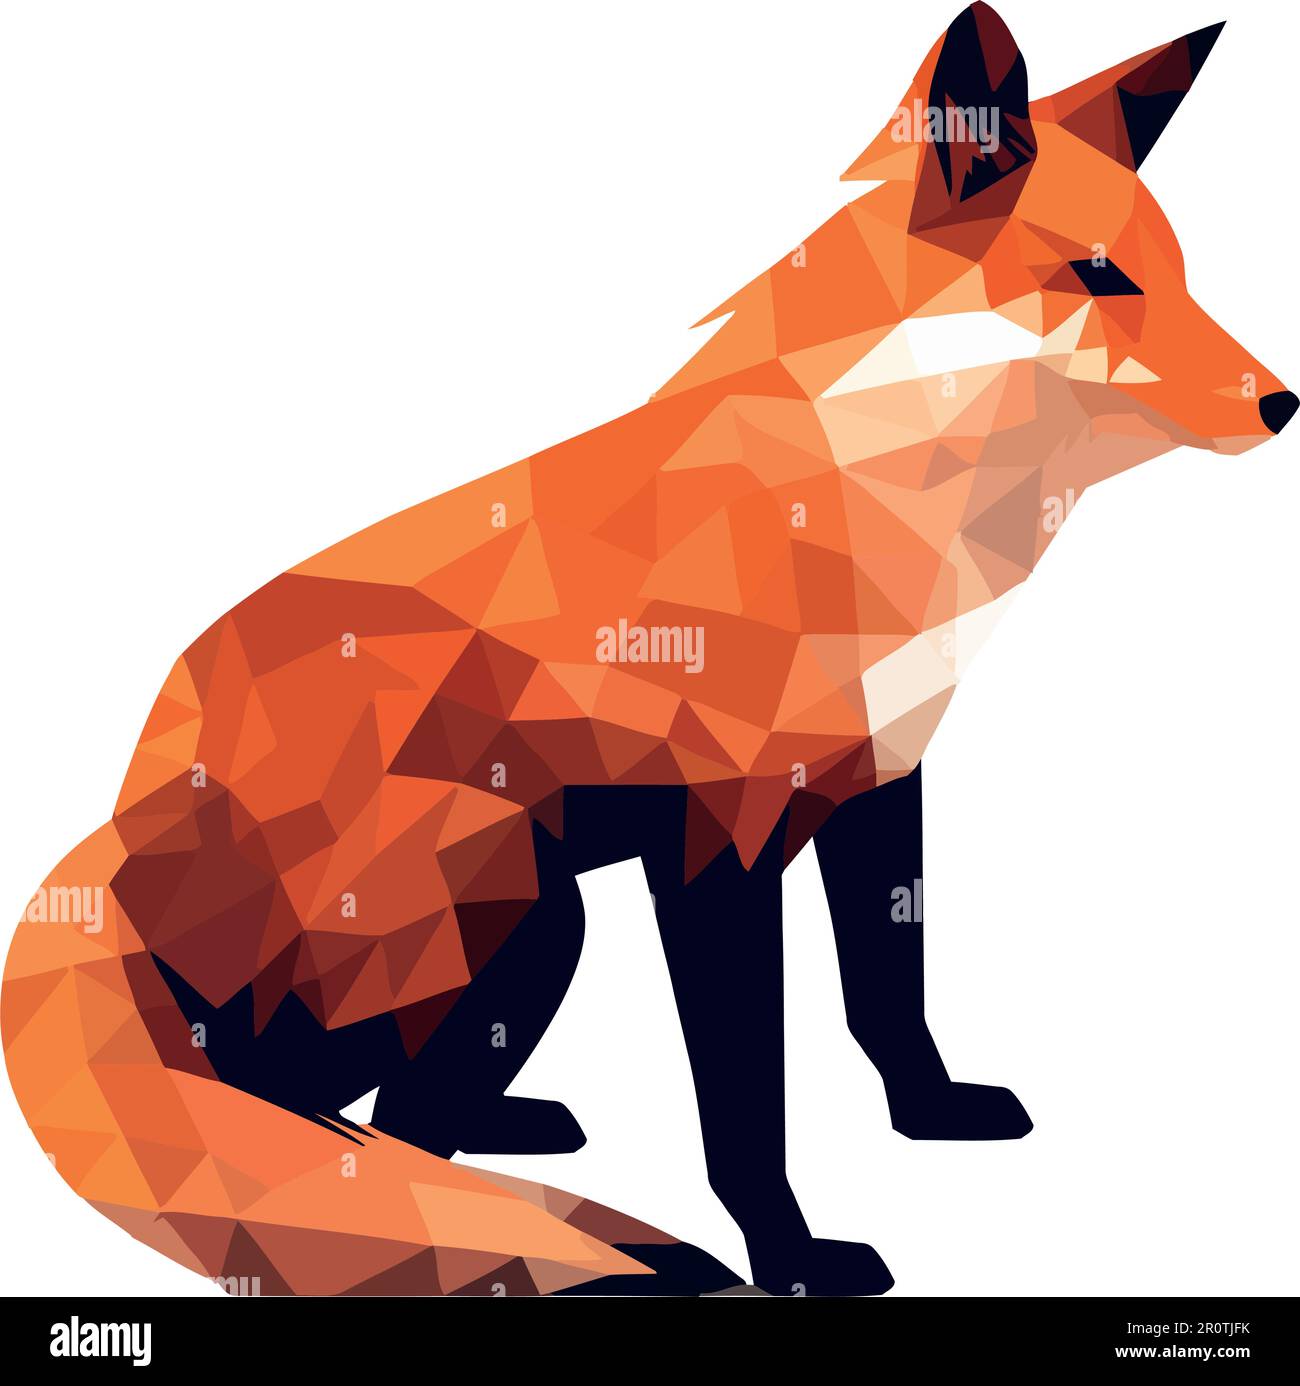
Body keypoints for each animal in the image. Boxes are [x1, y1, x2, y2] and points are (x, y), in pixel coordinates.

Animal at [4, 3, 1293, 1298]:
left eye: (1185, 274)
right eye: (1098, 275)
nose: (1280, 403)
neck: (873, 507)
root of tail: (116, 840)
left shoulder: (881, 779)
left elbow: (890, 994)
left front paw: (928, 1117)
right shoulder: (716, 842)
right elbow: (747, 1101)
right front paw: (791, 1254)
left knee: (373, 1120)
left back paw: (507, 1141)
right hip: (530, 904)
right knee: (353, 1123)